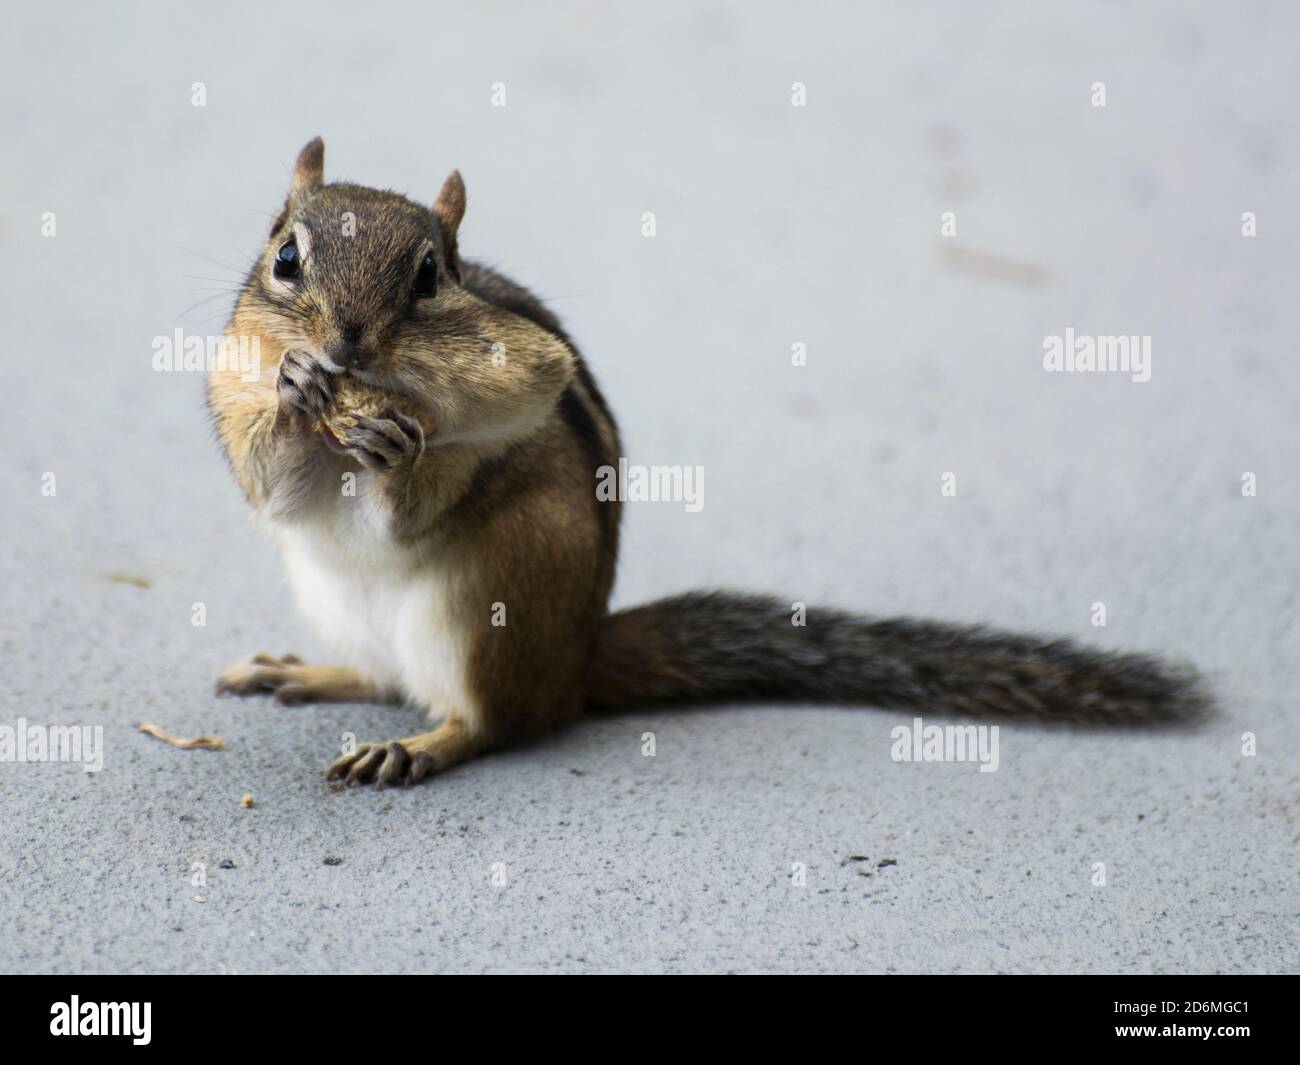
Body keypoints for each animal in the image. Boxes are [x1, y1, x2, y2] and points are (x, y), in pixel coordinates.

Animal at [207, 138, 1209, 789]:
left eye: (427, 276)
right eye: (285, 254)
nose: (345, 345)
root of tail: (576, 659)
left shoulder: (521, 381)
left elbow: (418, 498)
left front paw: (393, 451)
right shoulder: (231, 389)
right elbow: (276, 491)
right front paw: (298, 389)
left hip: (484, 602)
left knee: (492, 720)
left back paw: (420, 745)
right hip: (341, 604)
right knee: (385, 680)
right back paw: (306, 672)